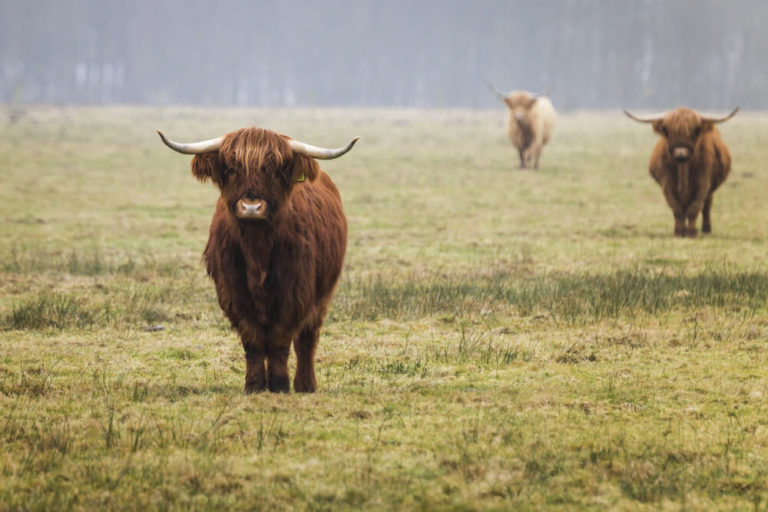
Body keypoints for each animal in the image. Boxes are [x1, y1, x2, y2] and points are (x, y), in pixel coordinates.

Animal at [158, 127, 358, 393]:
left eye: (274, 169)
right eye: (232, 168)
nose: (251, 207)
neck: (257, 250)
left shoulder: (294, 293)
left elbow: (280, 340)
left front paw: (279, 384)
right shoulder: (233, 291)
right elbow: (252, 340)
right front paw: (253, 385)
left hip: (323, 292)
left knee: (307, 338)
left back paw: (305, 384)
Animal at [624, 106, 738, 237]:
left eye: (695, 130)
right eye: (667, 130)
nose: (680, 152)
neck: (683, 170)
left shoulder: (703, 184)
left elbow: (694, 208)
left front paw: (692, 233)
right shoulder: (667, 184)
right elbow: (677, 209)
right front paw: (678, 232)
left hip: (710, 189)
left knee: (707, 206)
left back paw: (706, 230)